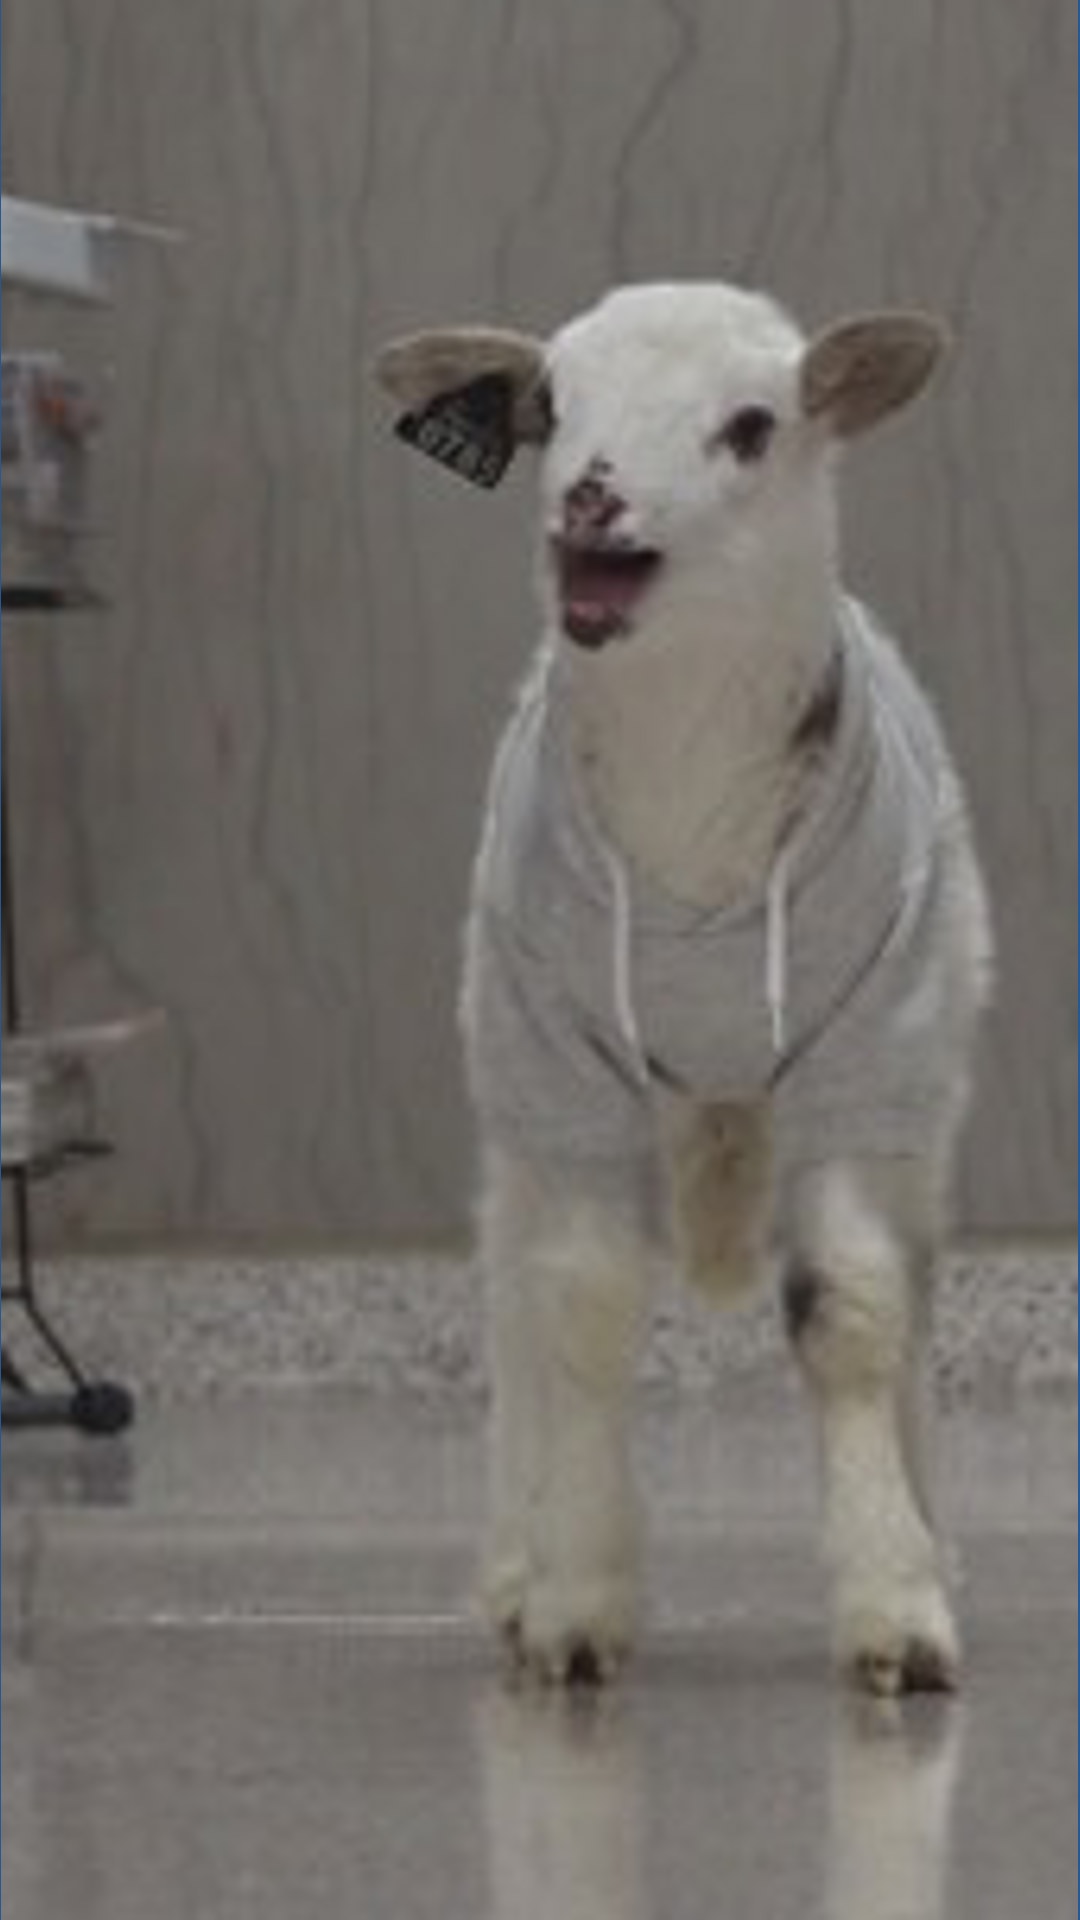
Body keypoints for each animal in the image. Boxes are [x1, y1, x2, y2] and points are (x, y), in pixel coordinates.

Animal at [377, 281, 992, 1695]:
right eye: (548, 408)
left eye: (753, 427)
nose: (589, 501)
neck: (691, 809)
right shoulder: (559, 1056)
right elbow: (585, 1306)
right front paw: (575, 1605)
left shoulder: (873, 1047)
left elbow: (854, 1309)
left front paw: (897, 1603)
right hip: (513, 1077)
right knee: (517, 1291)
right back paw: (516, 1563)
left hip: (915, 1092)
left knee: (913, 1280)